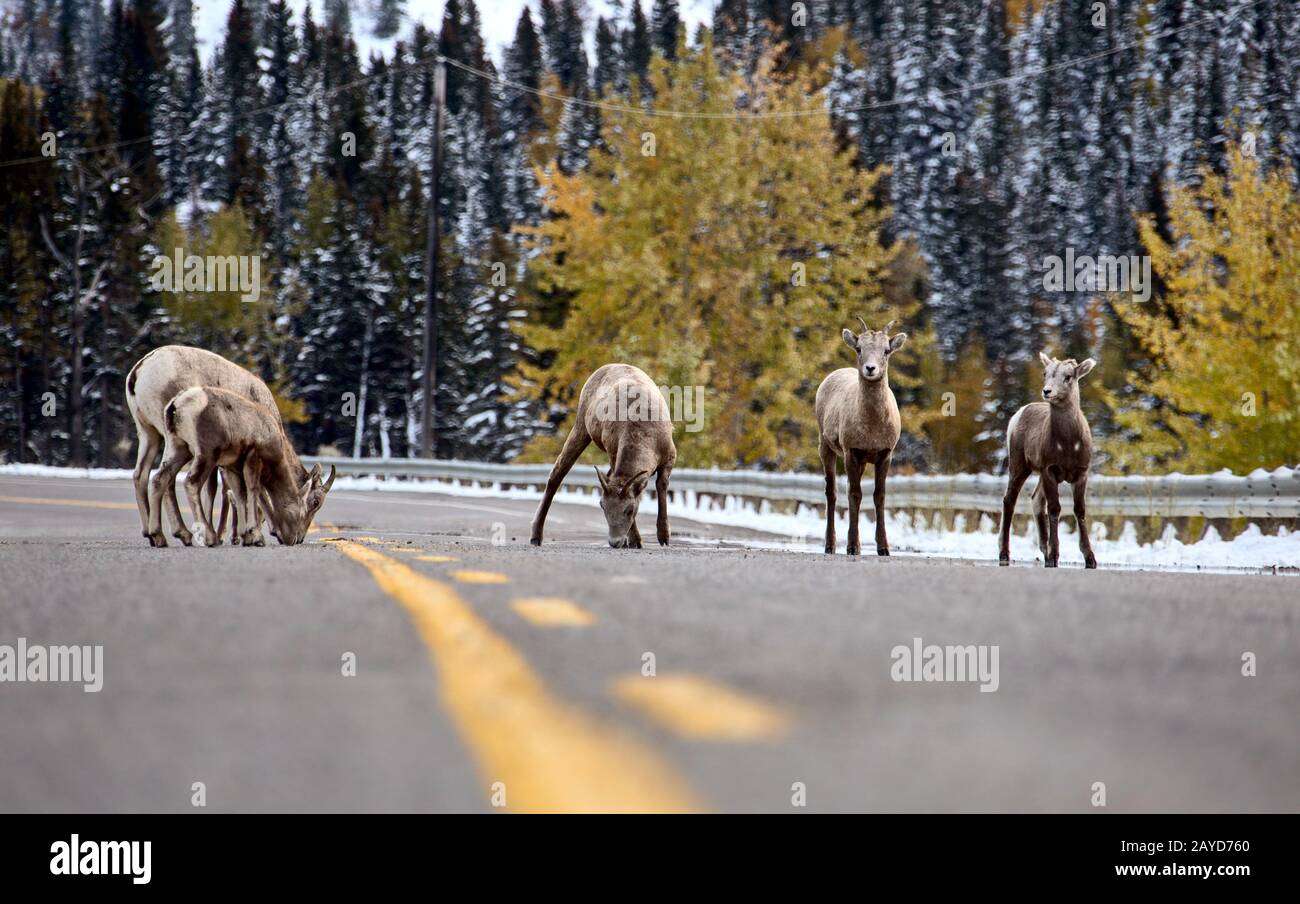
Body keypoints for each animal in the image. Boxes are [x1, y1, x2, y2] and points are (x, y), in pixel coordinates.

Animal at [148, 386, 335, 547]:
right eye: (313, 504)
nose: (295, 539)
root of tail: (177, 404)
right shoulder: (253, 457)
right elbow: (253, 490)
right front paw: (256, 537)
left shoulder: (231, 467)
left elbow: (239, 495)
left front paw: (247, 537)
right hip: (206, 455)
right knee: (191, 483)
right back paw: (210, 538)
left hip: (178, 448)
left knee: (160, 479)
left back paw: (160, 537)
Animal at [530, 364, 676, 549]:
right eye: (603, 506)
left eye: (630, 509)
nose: (615, 542)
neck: (643, 432)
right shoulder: (614, 453)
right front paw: (635, 541)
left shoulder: (669, 458)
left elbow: (661, 486)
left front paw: (664, 537)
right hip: (581, 428)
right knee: (557, 473)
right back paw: (536, 537)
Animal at [815, 317, 907, 556]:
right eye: (859, 348)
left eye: (886, 350)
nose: (870, 368)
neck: (872, 427)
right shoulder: (851, 452)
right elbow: (856, 495)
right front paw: (852, 547)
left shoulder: (884, 454)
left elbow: (879, 496)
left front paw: (883, 548)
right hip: (825, 448)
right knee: (832, 493)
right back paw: (830, 545)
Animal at [998, 352, 1098, 569]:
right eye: (1045, 373)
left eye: (1068, 376)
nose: (1047, 391)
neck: (1067, 444)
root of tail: (1017, 415)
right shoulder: (1049, 470)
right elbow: (1054, 509)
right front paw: (1054, 556)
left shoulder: (1081, 473)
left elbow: (1080, 510)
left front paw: (1090, 559)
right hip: (1019, 466)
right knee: (1009, 500)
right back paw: (1004, 555)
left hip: (1037, 474)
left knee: (1036, 499)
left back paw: (1044, 552)